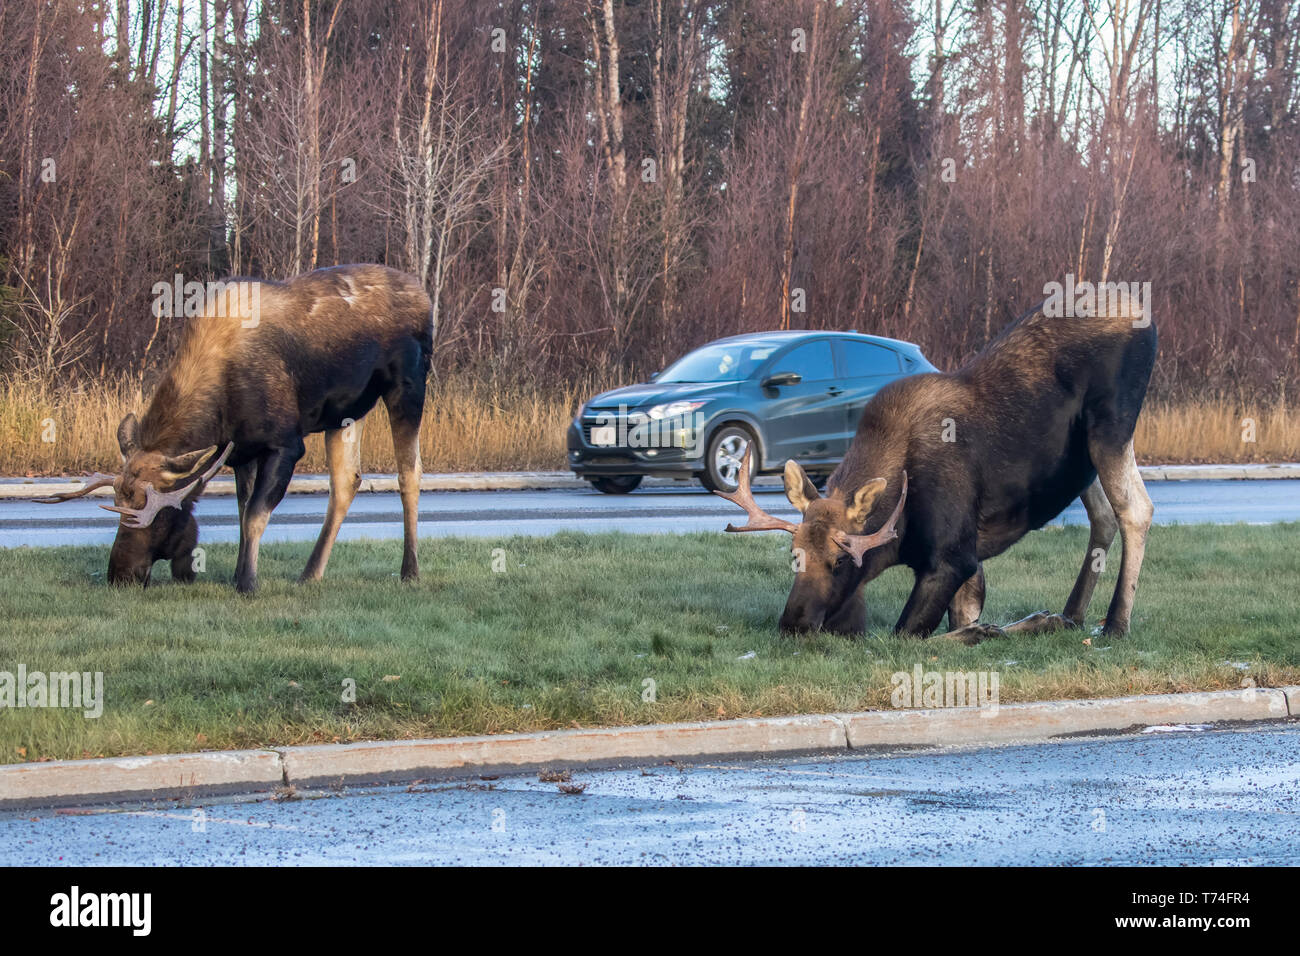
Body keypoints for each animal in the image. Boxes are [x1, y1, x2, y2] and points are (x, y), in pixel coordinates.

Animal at [36, 264, 434, 593]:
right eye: (117, 504)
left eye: (161, 515)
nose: (119, 575)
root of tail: (425, 295)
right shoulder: (242, 451)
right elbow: (243, 514)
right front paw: (237, 573)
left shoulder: (285, 444)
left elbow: (256, 514)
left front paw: (247, 583)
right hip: (346, 412)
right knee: (347, 480)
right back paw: (310, 574)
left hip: (408, 385)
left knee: (409, 472)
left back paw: (410, 571)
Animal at [715, 302, 1157, 644]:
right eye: (795, 554)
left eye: (840, 561)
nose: (794, 624)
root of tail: (1144, 312)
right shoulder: (969, 560)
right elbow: (961, 615)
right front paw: (1021, 623)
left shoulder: (953, 556)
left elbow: (907, 635)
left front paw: (1008, 627)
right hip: (1083, 461)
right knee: (1103, 515)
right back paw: (1074, 614)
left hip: (1111, 425)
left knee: (1135, 508)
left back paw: (1115, 624)